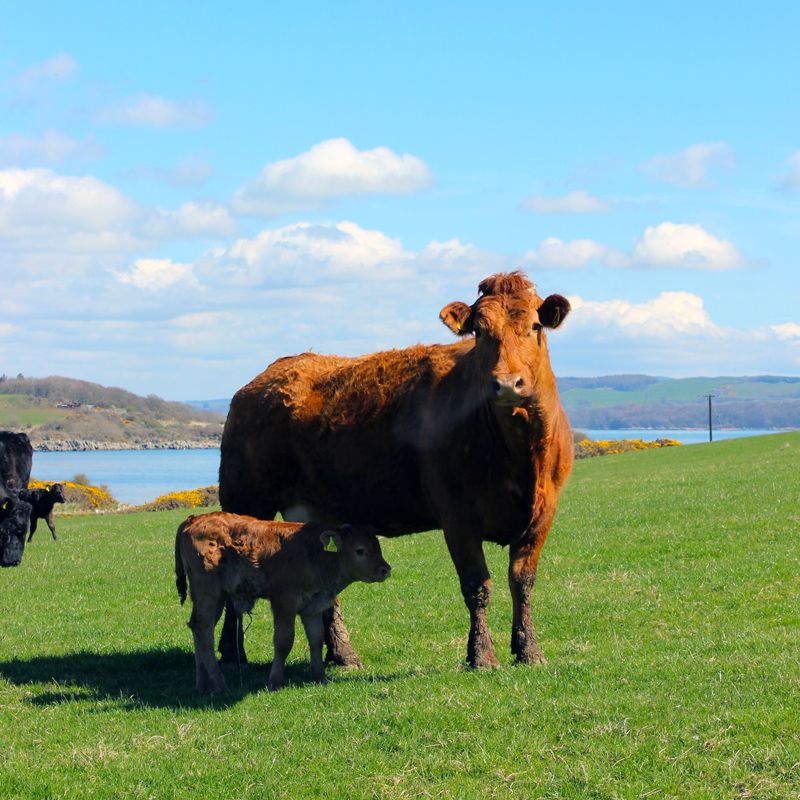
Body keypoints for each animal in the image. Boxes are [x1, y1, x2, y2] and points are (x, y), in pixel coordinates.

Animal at [175, 513, 391, 693]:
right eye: (360, 550)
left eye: (378, 547)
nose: (385, 569)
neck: (314, 553)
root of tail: (193, 520)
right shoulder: (284, 602)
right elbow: (283, 641)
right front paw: (275, 681)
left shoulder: (313, 606)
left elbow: (316, 639)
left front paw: (319, 677)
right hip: (209, 593)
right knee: (204, 631)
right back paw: (218, 684)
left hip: (216, 597)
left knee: (200, 629)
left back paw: (203, 684)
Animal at [217, 270, 573, 670]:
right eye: (480, 332)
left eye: (535, 326)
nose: (507, 383)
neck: (518, 455)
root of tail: (265, 377)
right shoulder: (458, 516)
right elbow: (477, 586)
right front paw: (481, 654)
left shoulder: (544, 513)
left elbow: (522, 581)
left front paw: (529, 650)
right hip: (245, 501)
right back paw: (231, 652)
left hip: (311, 511)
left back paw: (343, 654)